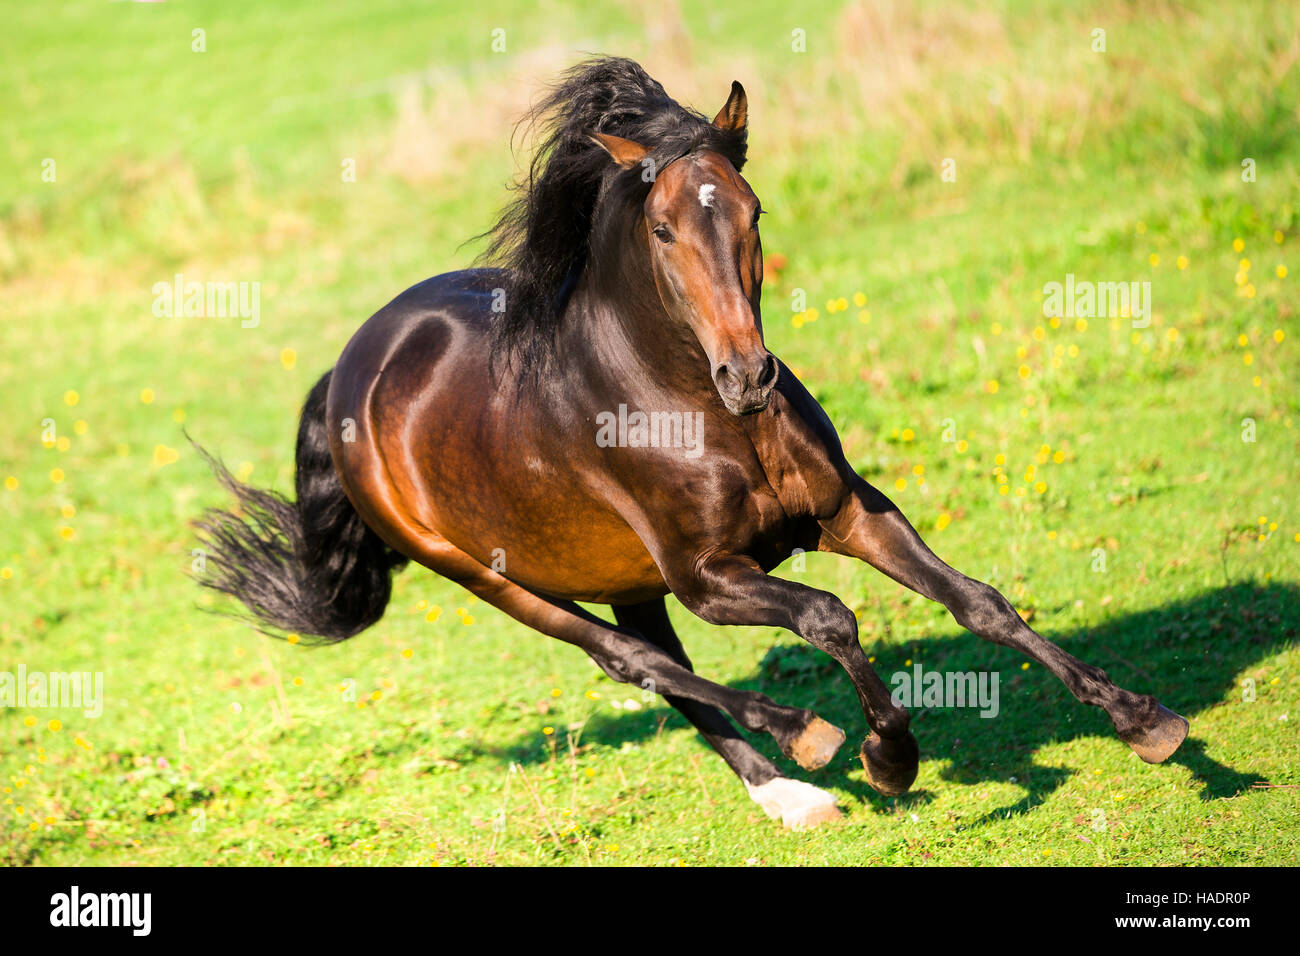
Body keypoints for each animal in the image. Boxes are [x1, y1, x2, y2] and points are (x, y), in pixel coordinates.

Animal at [194, 57, 1188, 830]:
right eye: (664, 229)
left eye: (754, 212)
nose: (748, 376)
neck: (698, 413)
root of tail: (350, 371)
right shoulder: (709, 578)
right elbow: (829, 616)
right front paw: (889, 757)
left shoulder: (851, 512)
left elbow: (977, 602)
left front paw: (1146, 721)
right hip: (488, 577)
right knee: (635, 664)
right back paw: (800, 755)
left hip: (621, 575)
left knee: (658, 665)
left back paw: (791, 792)